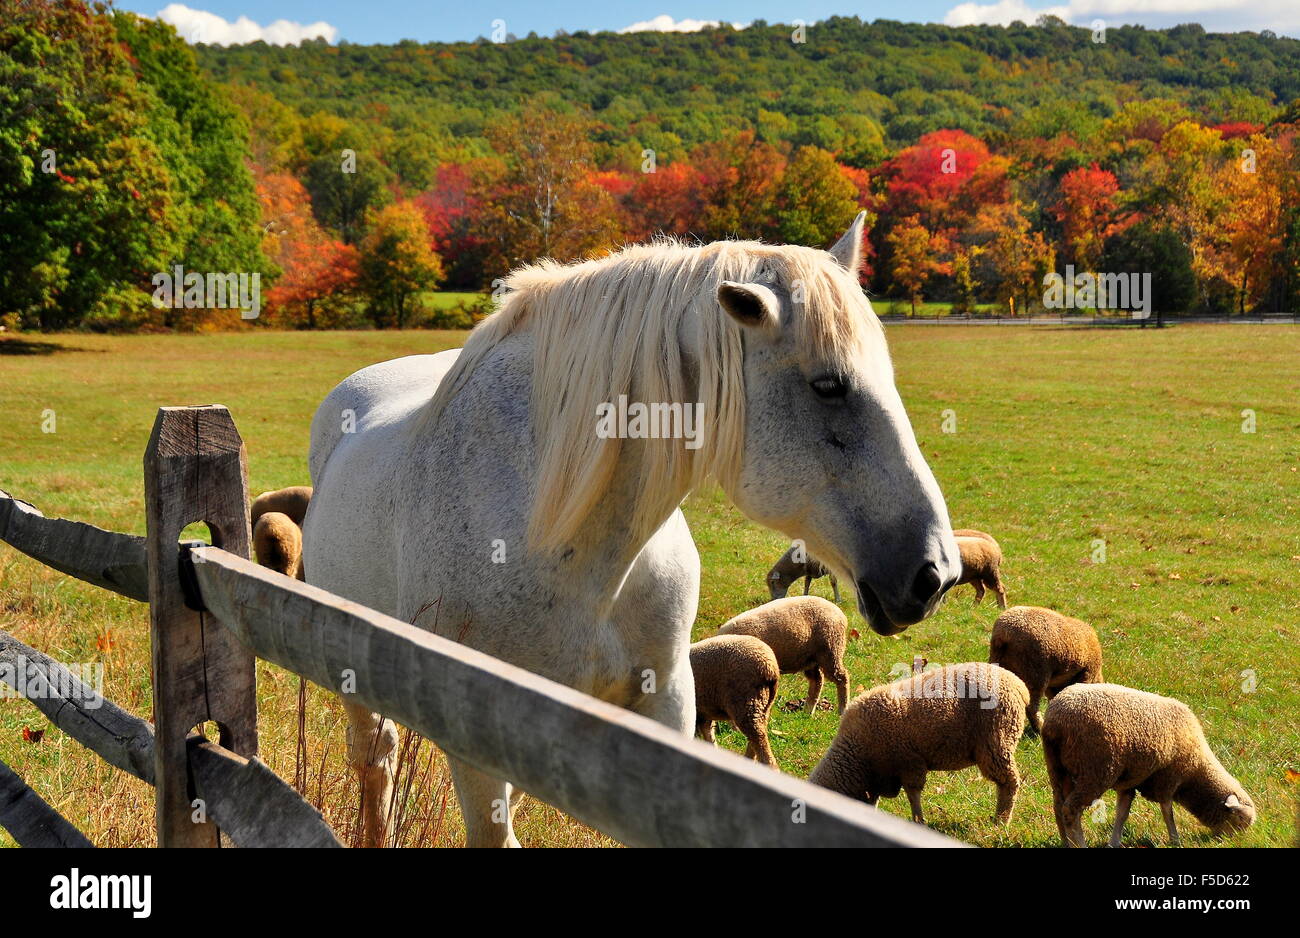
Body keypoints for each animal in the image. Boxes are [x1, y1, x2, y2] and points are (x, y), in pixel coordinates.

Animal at [301, 214, 961, 847]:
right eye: (828, 385)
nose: (937, 573)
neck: (569, 548)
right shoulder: (477, 736)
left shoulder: (664, 700)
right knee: (377, 759)